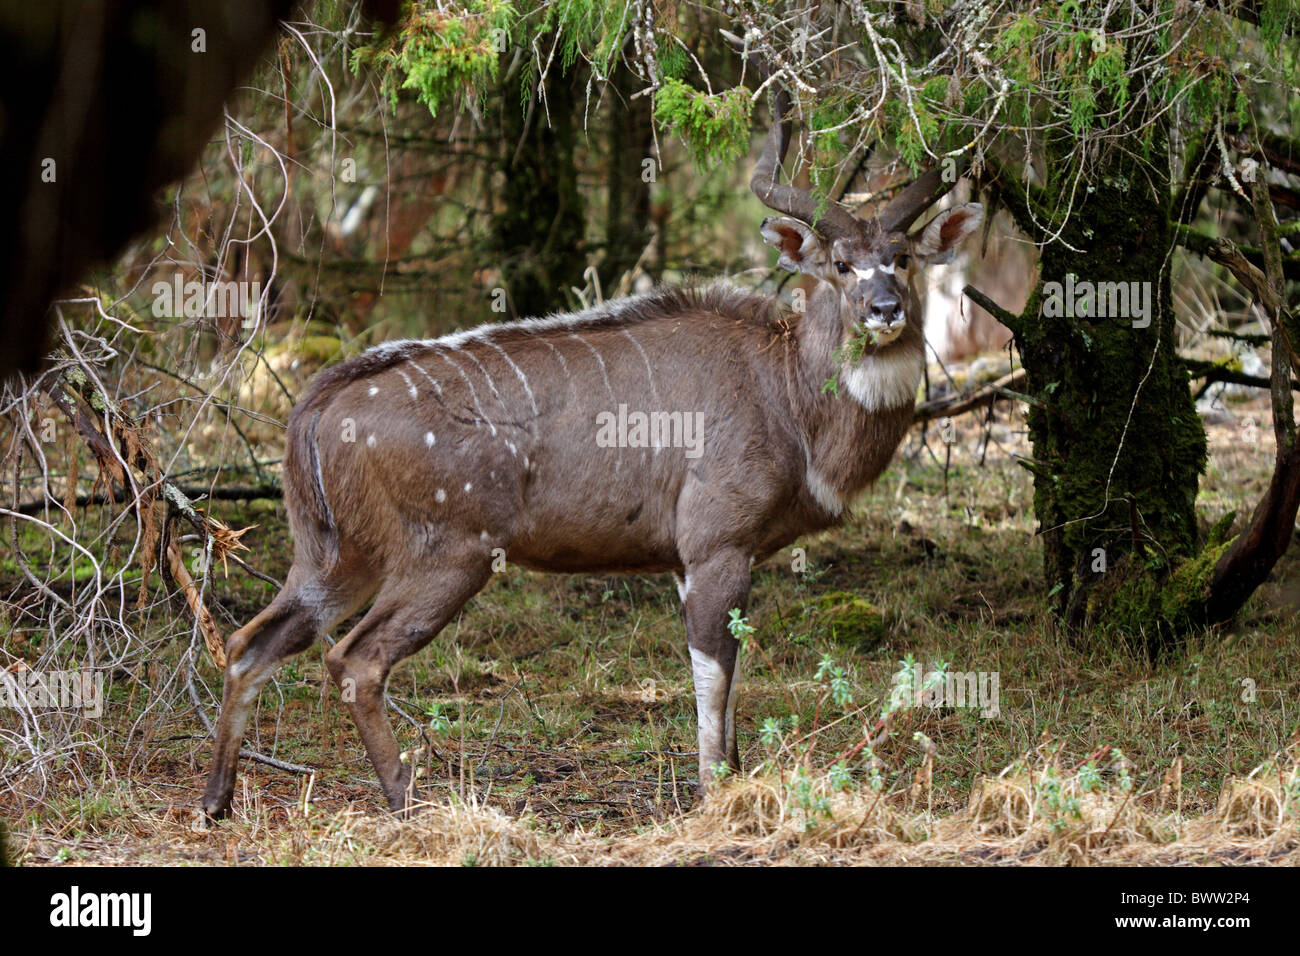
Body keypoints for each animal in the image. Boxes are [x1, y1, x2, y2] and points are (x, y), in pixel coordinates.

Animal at [200, 88, 983, 821]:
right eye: (842, 265)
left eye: (903, 258)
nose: (886, 308)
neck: (785, 390)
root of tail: (318, 406)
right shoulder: (715, 546)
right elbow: (712, 676)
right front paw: (714, 795)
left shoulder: (698, 561)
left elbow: (729, 682)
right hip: (447, 555)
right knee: (354, 659)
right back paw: (407, 801)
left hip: (334, 557)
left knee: (249, 644)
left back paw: (217, 801)